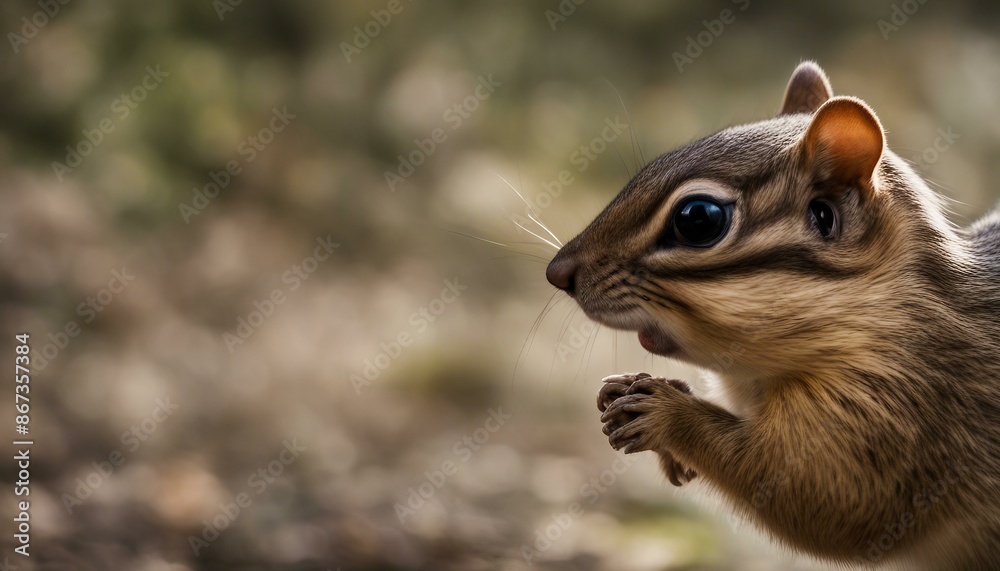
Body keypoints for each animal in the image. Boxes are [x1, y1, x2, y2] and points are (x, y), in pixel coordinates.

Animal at [544, 61, 1000, 570]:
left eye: (697, 218)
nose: (556, 272)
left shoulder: (898, 412)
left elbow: (827, 500)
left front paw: (667, 413)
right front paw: (633, 392)